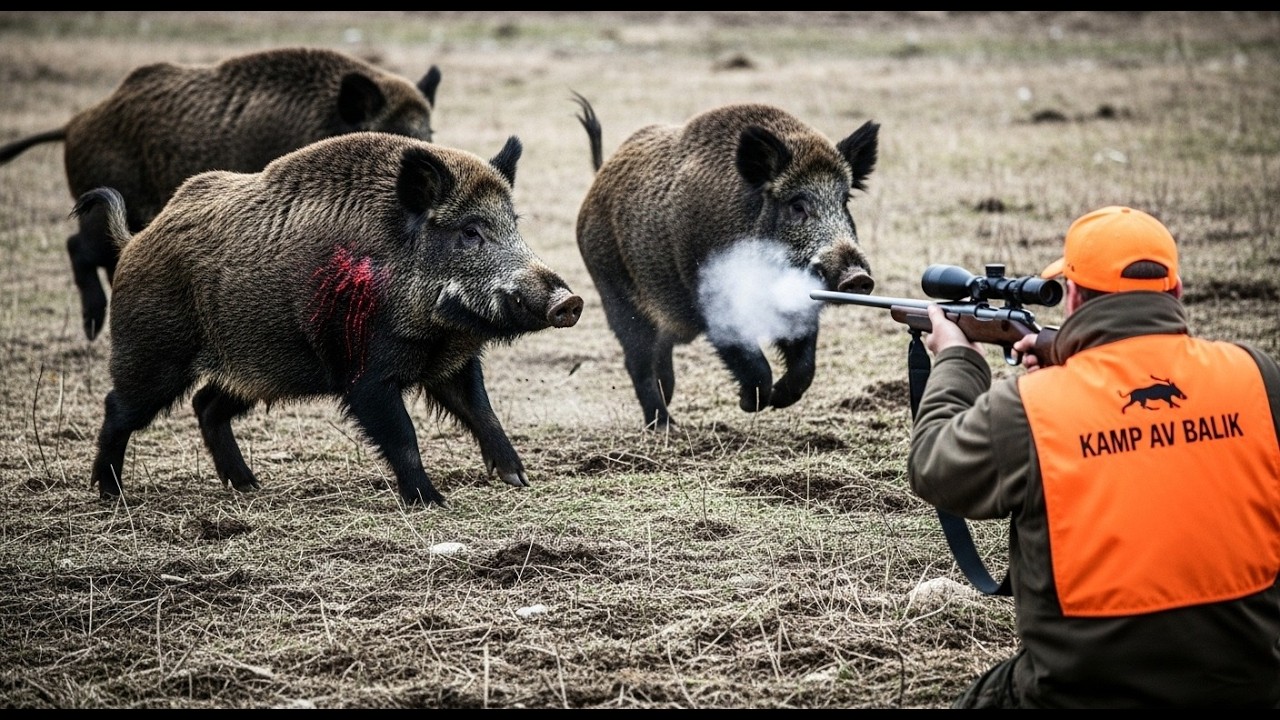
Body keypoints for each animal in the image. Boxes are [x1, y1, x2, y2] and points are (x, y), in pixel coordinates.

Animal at [0, 46, 443, 341]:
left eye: (429, 132)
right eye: (394, 133)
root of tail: (75, 124)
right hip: (105, 206)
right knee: (78, 245)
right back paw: (94, 328)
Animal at [73, 131, 583, 508]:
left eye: (514, 224)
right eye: (470, 231)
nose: (569, 301)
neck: (437, 331)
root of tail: (134, 240)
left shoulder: (451, 363)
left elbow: (482, 411)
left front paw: (519, 478)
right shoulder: (364, 374)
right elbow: (403, 435)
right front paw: (433, 501)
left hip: (258, 369)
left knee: (206, 404)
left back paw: (249, 485)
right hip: (152, 353)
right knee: (118, 407)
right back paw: (110, 493)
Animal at [571, 93, 879, 430]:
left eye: (844, 201)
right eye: (797, 205)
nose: (858, 277)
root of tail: (599, 177)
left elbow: (804, 366)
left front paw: (778, 400)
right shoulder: (713, 301)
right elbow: (754, 364)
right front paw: (748, 404)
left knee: (661, 350)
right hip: (614, 293)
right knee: (636, 359)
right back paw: (665, 425)